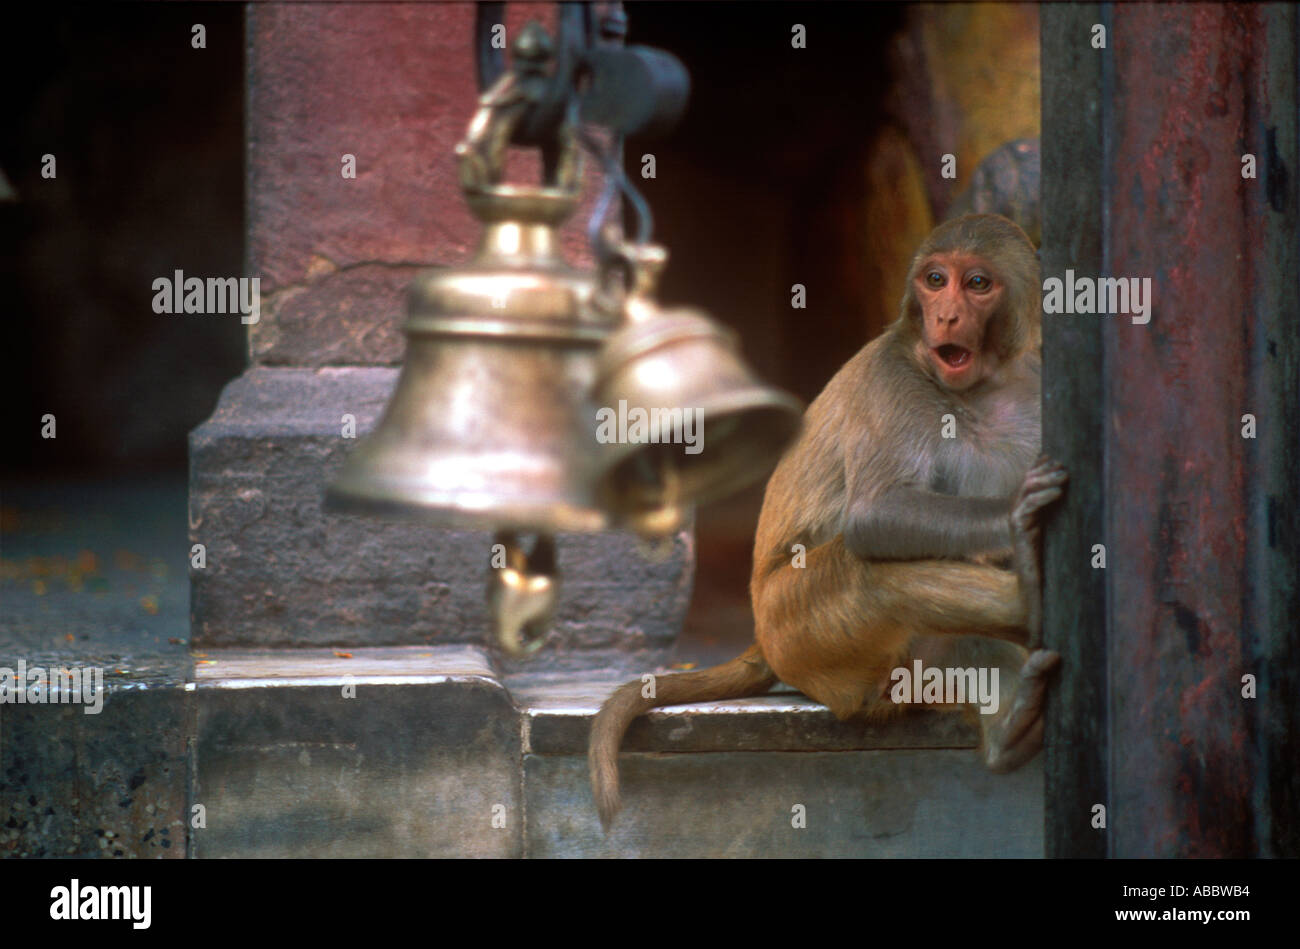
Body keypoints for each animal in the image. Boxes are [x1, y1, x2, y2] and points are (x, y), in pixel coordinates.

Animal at [589, 214, 1068, 829]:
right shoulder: (894, 379)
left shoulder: (1035, 381)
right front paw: (1013, 517)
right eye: (936, 279)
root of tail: (762, 641)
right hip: (799, 632)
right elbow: (875, 518)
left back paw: (1011, 729)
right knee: (874, 572)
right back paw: (1027, 597)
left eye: (977, 283)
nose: (945, 317)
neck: (984, 387)